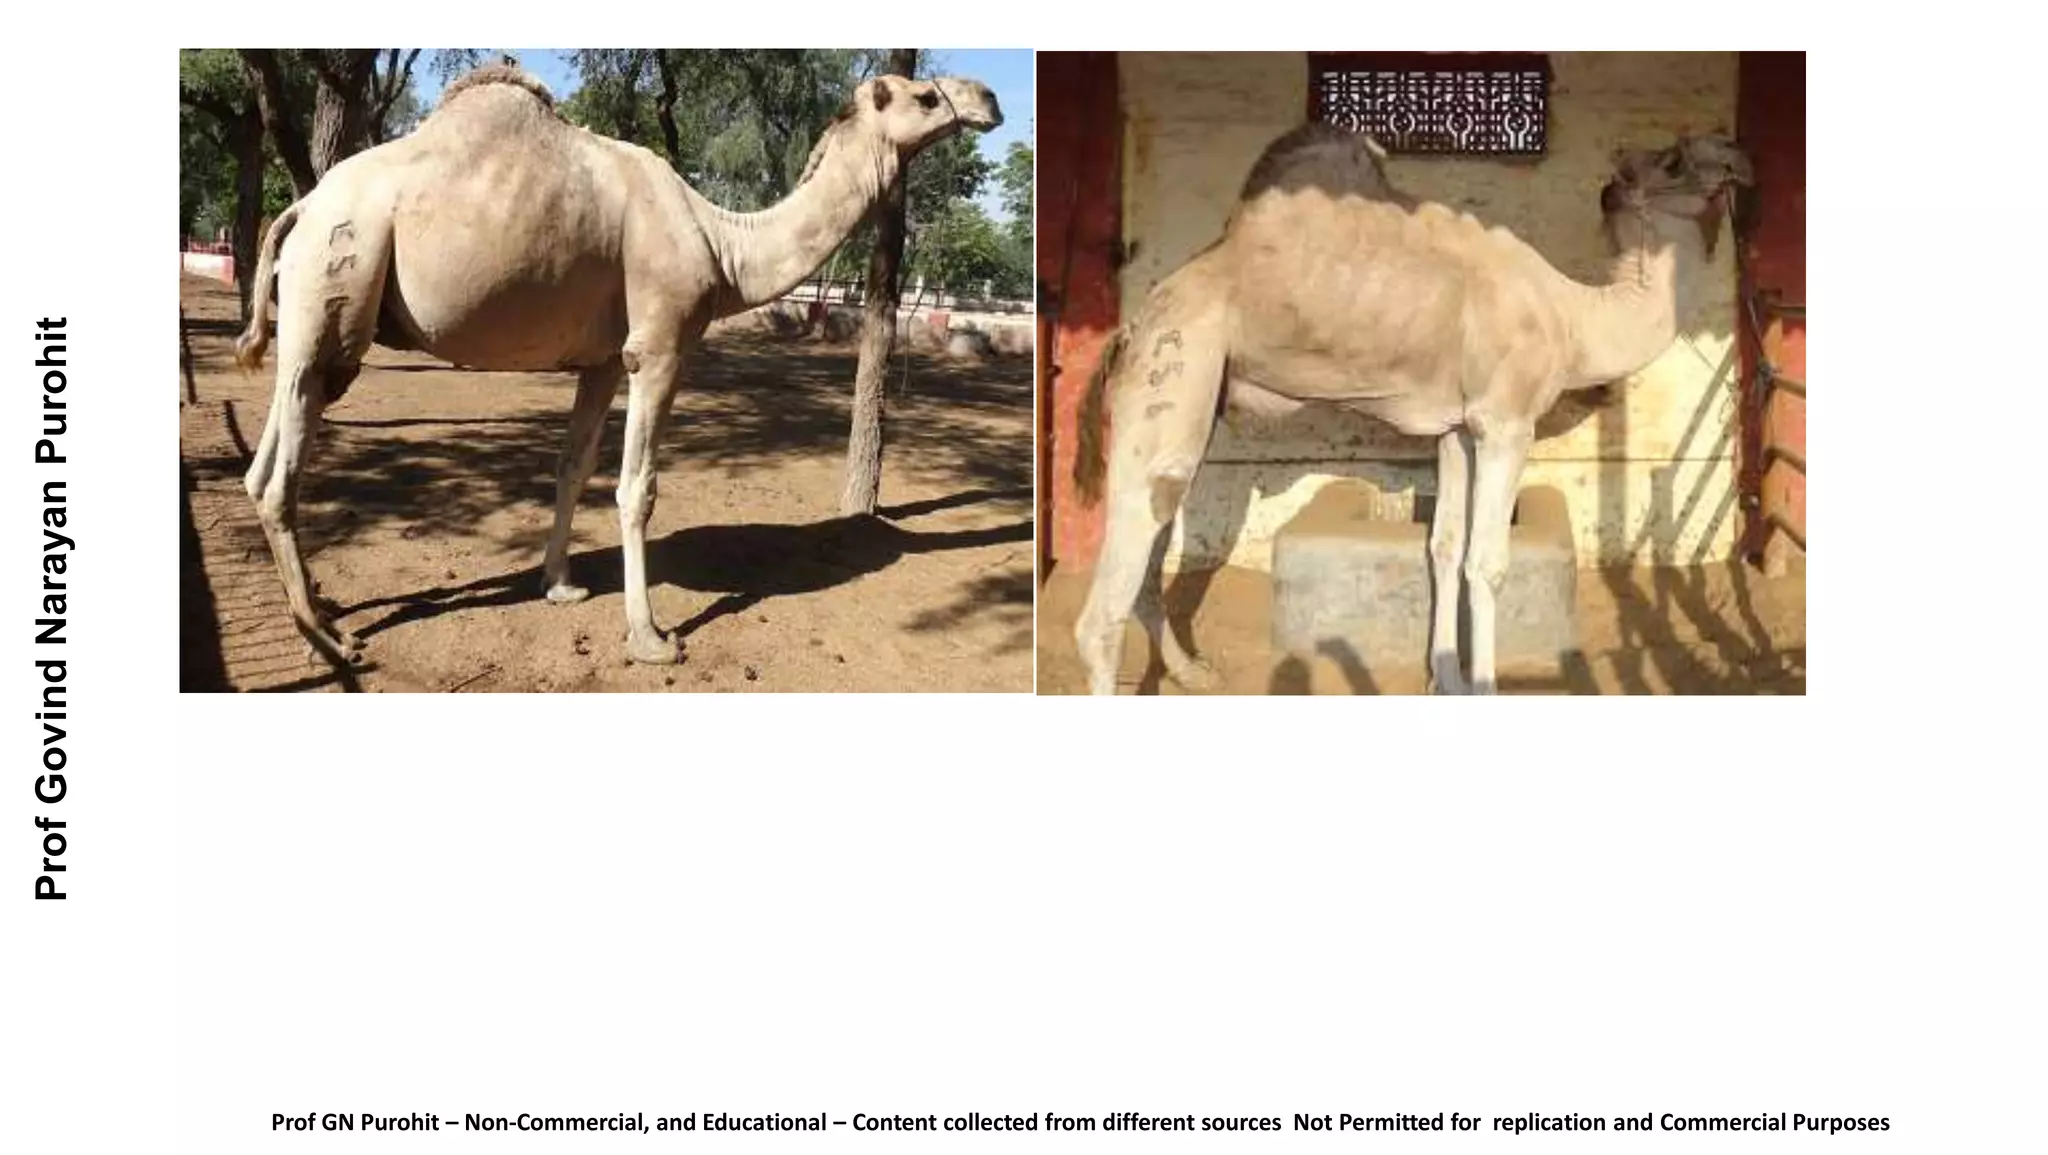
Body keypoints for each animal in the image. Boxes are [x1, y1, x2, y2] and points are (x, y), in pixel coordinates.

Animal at [234, 65, 1001, 666]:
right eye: (925, 95)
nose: (990, 98)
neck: (722, 241)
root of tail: (299, 209)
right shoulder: (658, 345)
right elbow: (639, 488)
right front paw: (650, 635)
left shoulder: (602, 359)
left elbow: (572, 467)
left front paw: (560, 585)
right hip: (340, 279)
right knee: (279, 473)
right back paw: (326, 638)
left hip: (310, 322)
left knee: (266, 452)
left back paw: (323, 608)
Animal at [1071, 124, 1751, 694]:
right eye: (1675, 158)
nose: (1735, 156)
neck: (1572, 320)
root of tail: (1133, 325)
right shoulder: (1507, 424)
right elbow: (1487, 562)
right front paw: (1483, 688)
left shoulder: (1459, 429)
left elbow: (1444, 547)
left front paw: (1444, 678)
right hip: (1176, 369)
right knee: (1100, 613)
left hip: (1197, 404)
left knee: (1154, 540)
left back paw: (1193, 672)